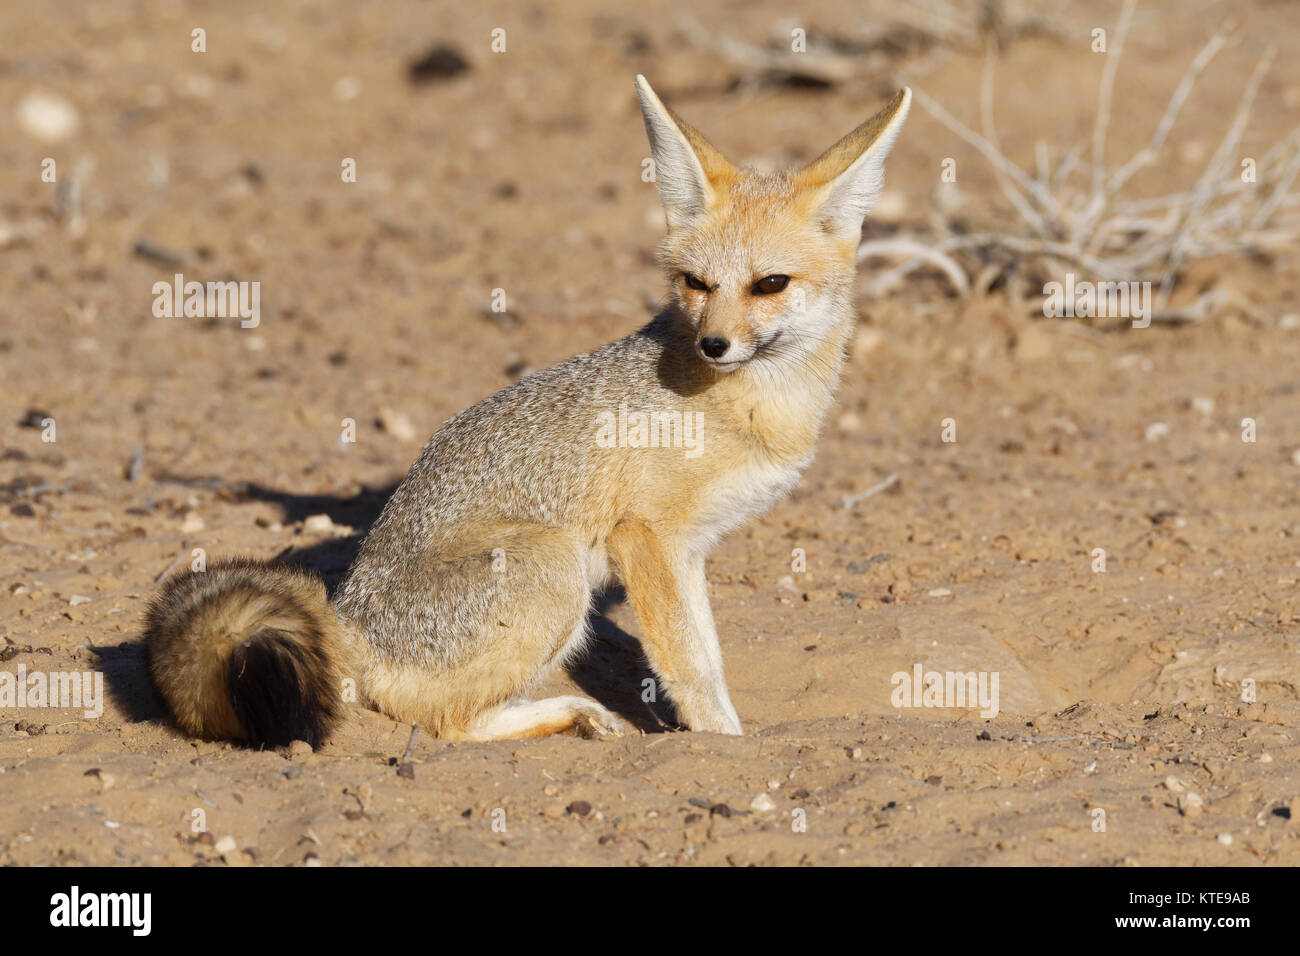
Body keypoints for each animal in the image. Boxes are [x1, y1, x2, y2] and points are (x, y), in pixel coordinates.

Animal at [144, 76, 911, 747]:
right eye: (696, 284)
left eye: (769, 284)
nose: (714, 344)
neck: (751, 407)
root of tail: (349, 618)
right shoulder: (647, 537)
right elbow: (691, 667)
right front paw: (724, 744)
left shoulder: (688, 551)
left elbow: (709, 656)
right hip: (556, 564)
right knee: (446, 724)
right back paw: (568, 714)